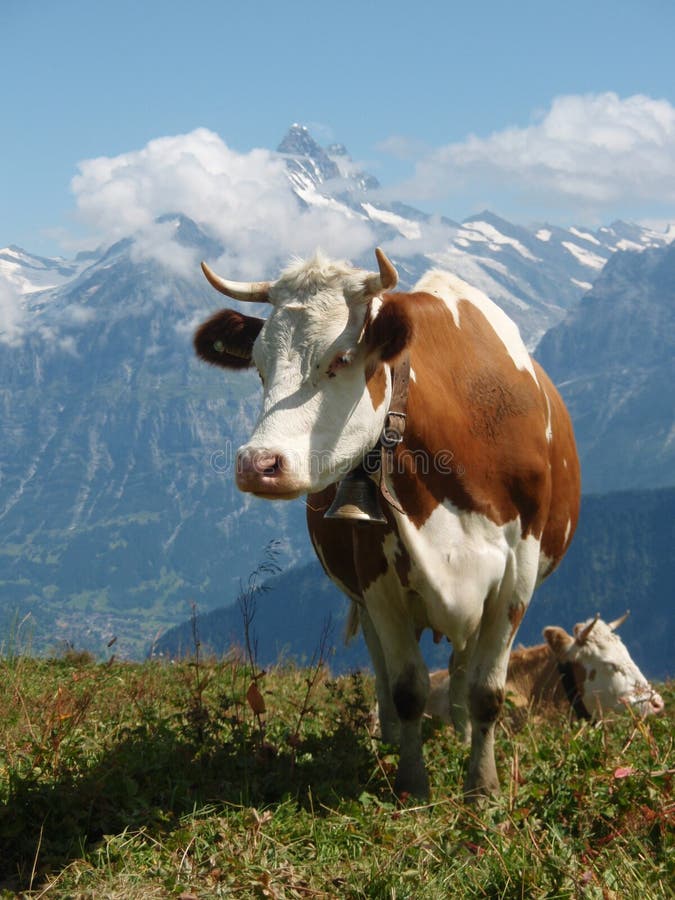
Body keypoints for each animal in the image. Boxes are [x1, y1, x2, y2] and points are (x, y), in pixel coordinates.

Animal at [193, 247, 581, 799]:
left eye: (340, 359)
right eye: (260, 367)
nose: (256, 463)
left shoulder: (516, 577)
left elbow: (487, 691)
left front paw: (483, 786)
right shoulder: (377, 576)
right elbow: (407, 688)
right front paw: (413, 783)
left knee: (461, 667)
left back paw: (460, 731)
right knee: (385, 667)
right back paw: (392, 738)